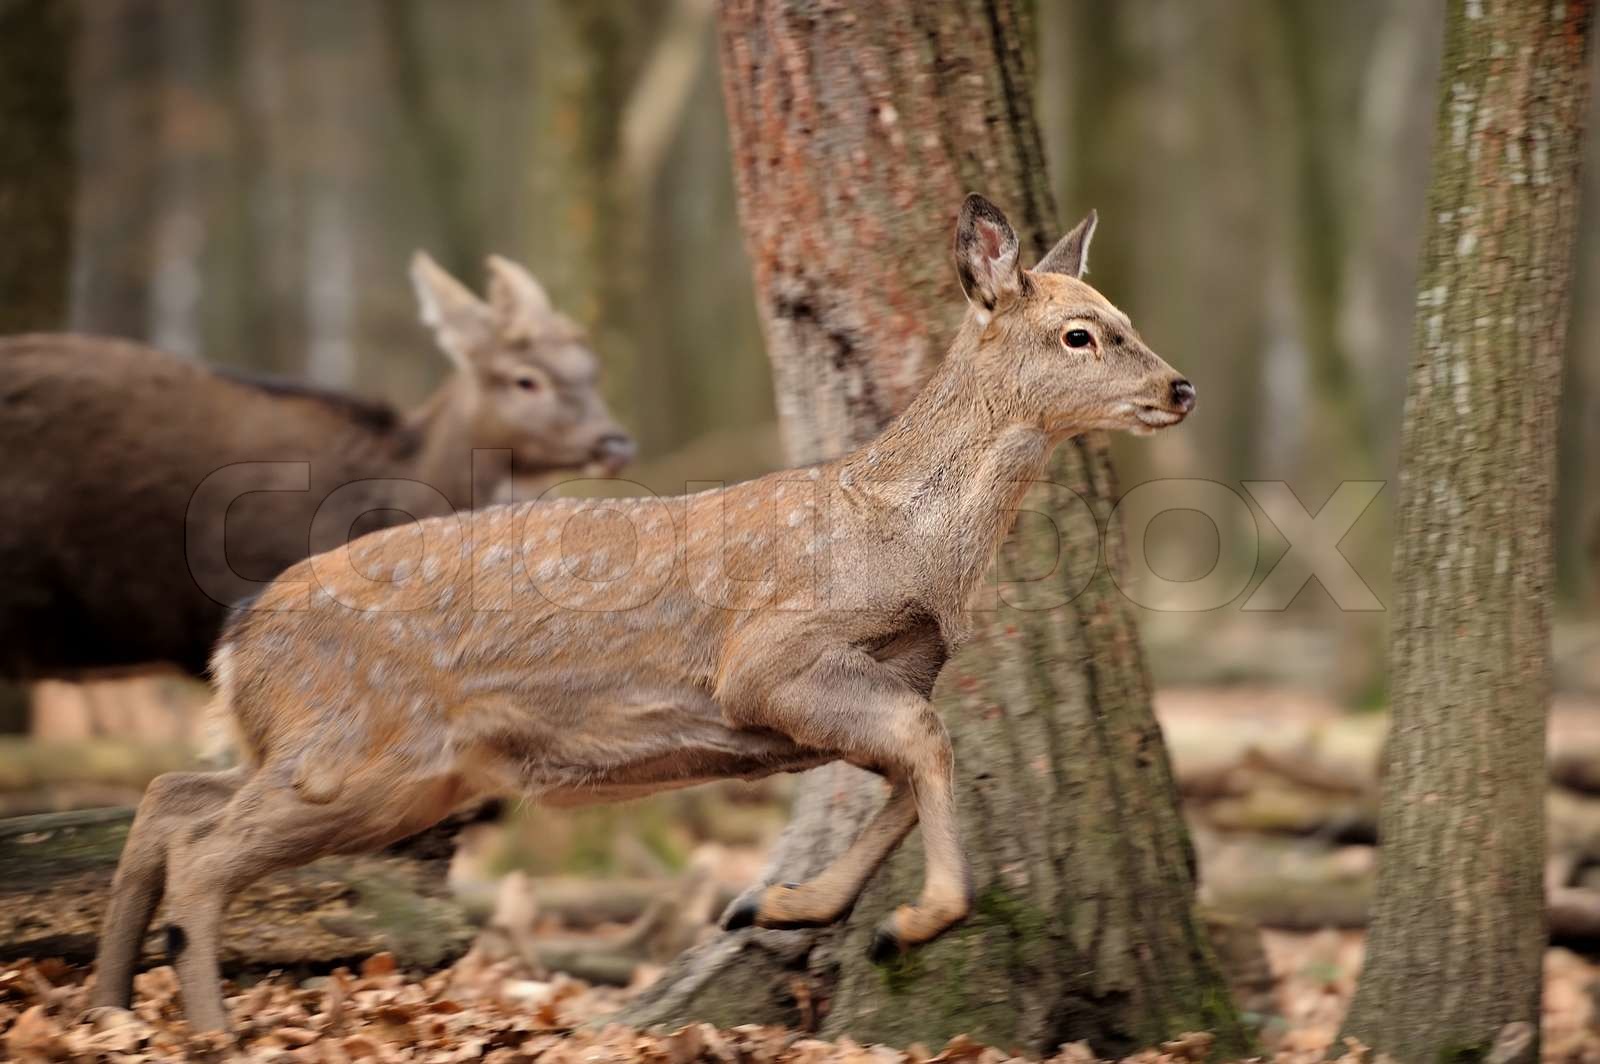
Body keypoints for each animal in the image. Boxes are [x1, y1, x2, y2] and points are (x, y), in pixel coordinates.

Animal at [90, 195, 1196, 1031]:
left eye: (1122, 315)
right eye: (1081, 333)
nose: (1181, 386)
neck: (898, 539)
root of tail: (240, 636)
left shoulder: (871, 680)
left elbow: (907, 772)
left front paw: (788, 905)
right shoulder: (768, 659)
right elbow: (927, 744)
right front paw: (916, 919)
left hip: (351, 757)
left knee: (169, 795)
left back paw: (110, 1005)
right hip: (363, 748)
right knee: (203, 850)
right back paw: (211, 1029)